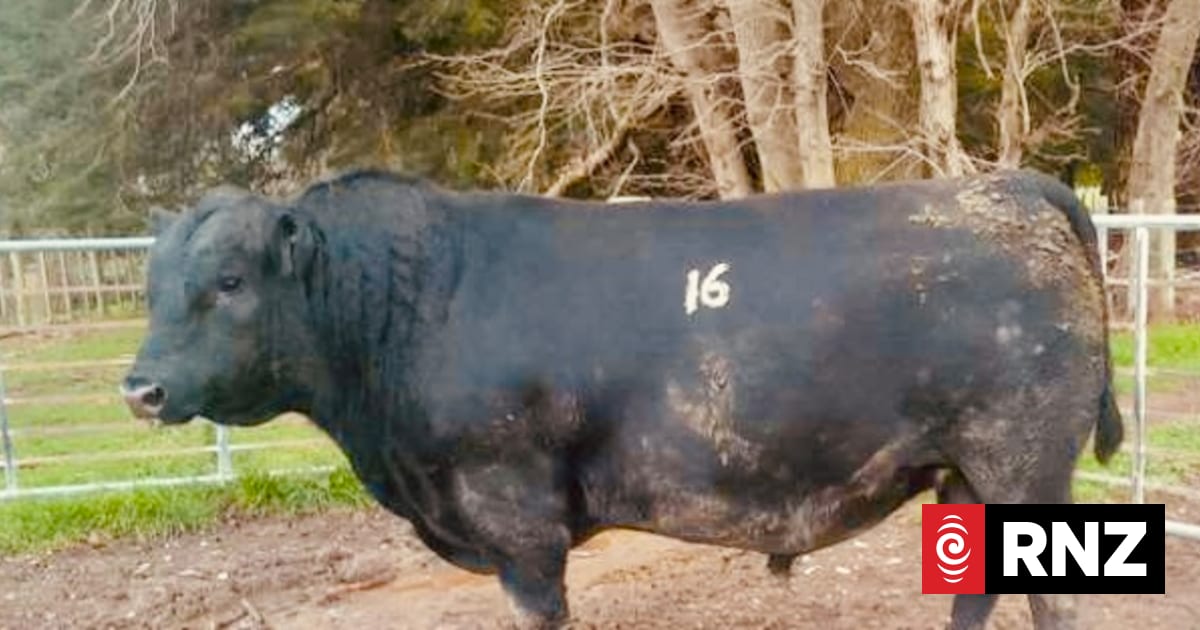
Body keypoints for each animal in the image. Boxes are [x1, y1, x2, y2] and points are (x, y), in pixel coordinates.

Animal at [122, 169, 1121, 629]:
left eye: (230, 282)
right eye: (152, 283)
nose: (140, 386)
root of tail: (1006, 184)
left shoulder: (518, 521)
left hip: (1025, 466)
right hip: (965, 475)